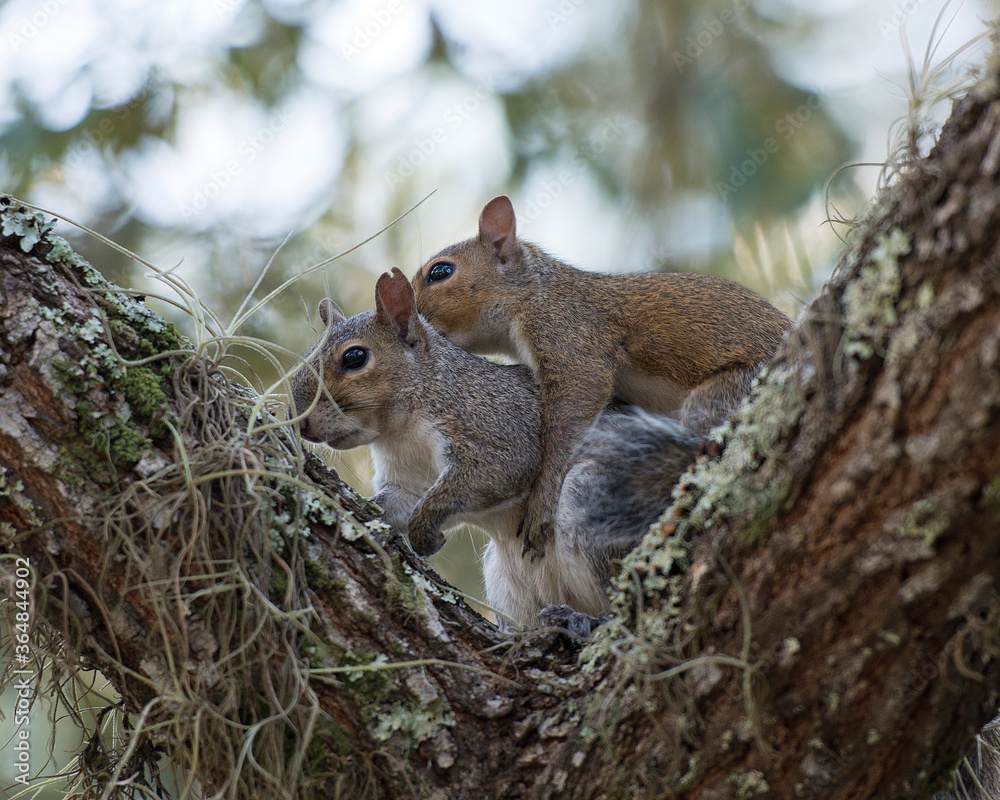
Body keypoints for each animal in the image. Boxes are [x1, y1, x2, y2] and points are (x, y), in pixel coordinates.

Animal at [290, 267, 700, 630]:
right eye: (309, 352)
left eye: (354, 357)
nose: (299, 421)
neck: (401, 429)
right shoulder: (406, 476)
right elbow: (398, 503)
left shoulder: (495, 427)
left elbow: (488, 476)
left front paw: (425, 531)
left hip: (601, 505)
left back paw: (590, 621)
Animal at [412, 195, 791, 553]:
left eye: (440, 272)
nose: (410, 317)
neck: (533, 294)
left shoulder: (569, 333)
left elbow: (575, 408)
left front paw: (541, 504)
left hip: (726, 394)